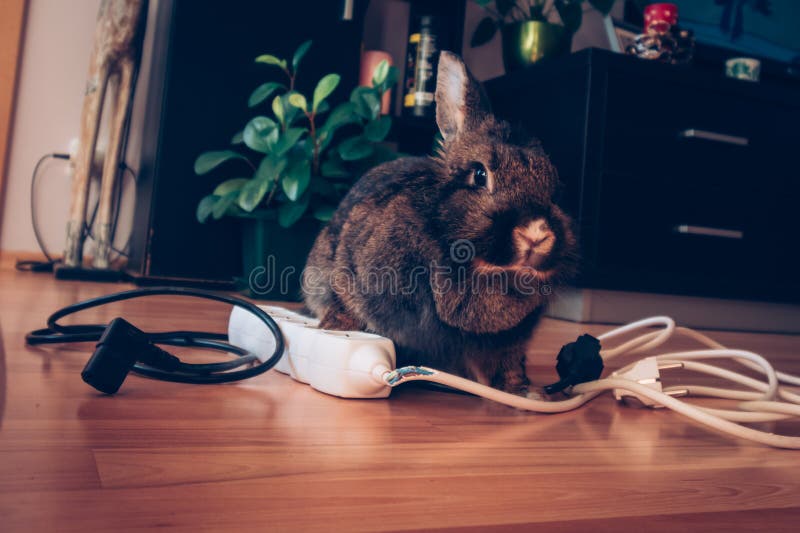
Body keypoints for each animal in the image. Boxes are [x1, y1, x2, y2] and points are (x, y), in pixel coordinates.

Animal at [302, 52, 576, 395]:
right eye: (480, 175)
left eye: (557, 191)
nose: (536, 233)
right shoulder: (351, 267)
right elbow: (346, 299)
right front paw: (336, 327)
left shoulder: (510, 341)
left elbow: (508, 363)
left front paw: (523, 391)